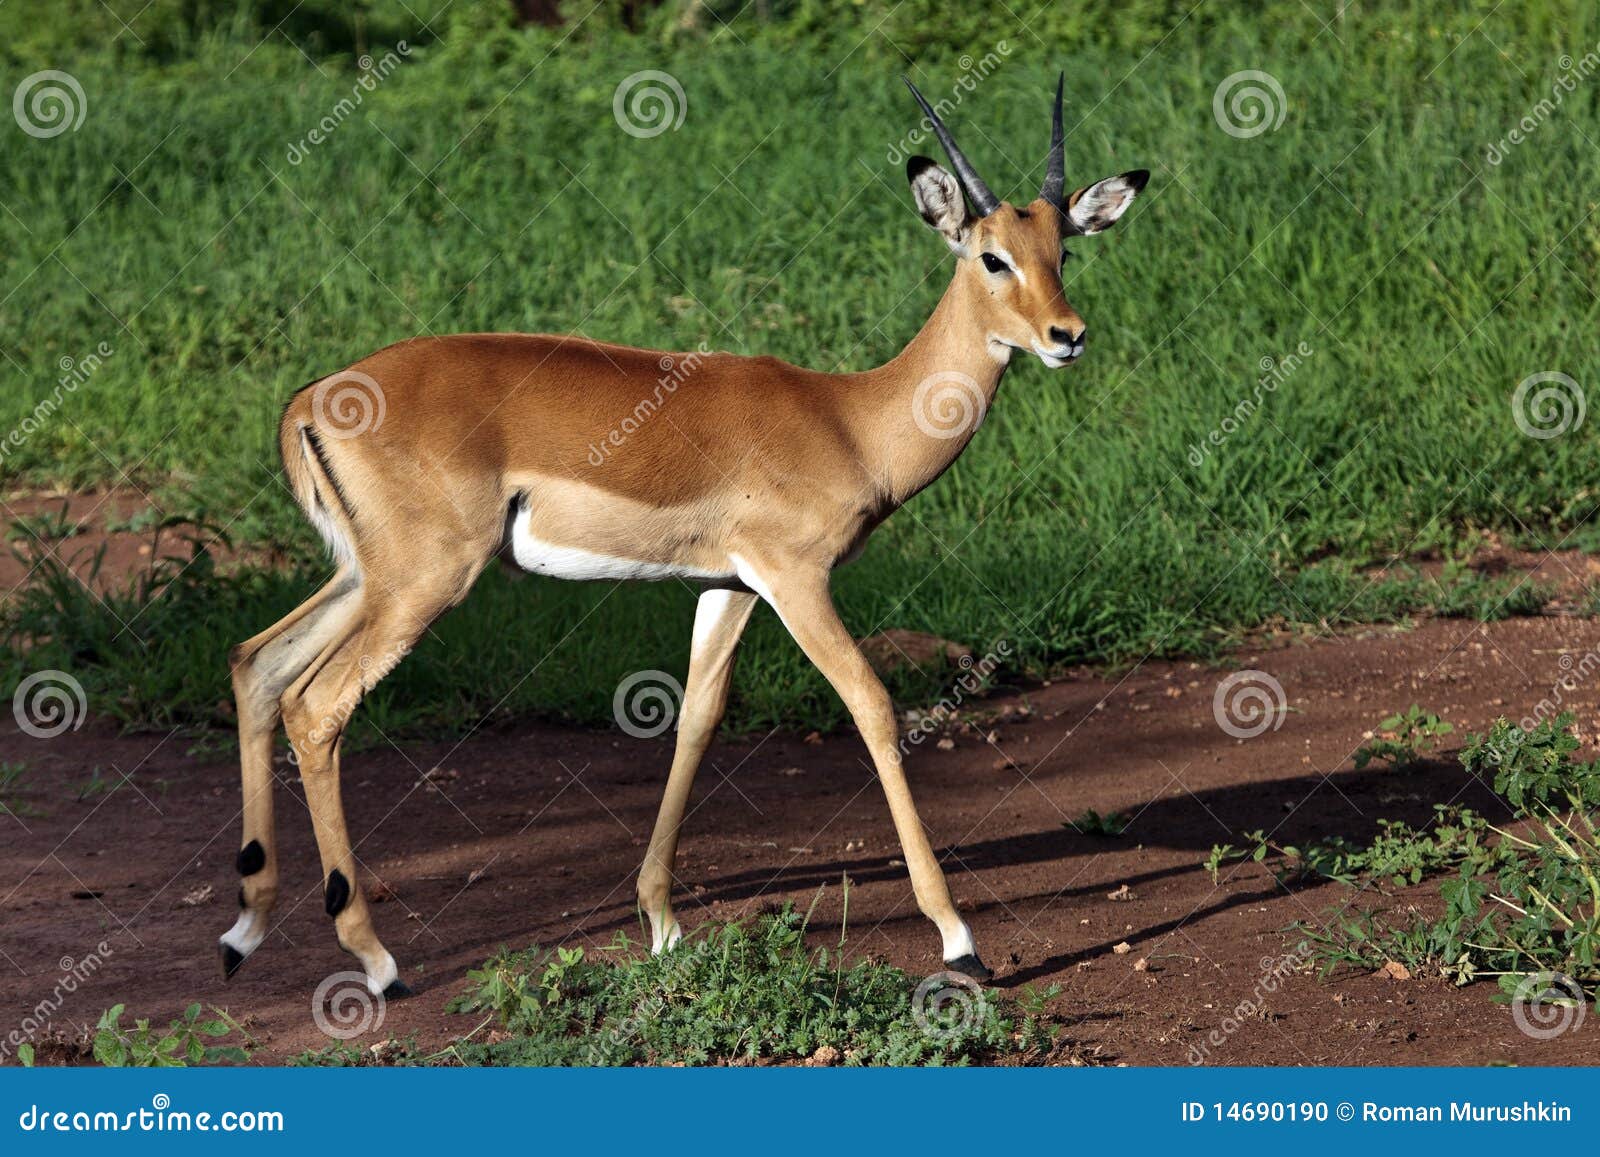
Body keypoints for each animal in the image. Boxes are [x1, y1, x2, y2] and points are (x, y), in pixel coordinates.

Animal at [221, 74, 1146, 998]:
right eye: (992, 255)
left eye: (1063, 252)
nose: (1068, 336)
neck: (851, 420)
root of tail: (311, 398)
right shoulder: (796, 579)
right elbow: (874, 707)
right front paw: (959, 938)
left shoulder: (728, 587)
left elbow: (696, 719)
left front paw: (663, 923)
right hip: (423, 580)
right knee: (317, 706)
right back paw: (376, 960)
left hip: (366, 577)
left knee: (258, 663)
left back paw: (244, 932)